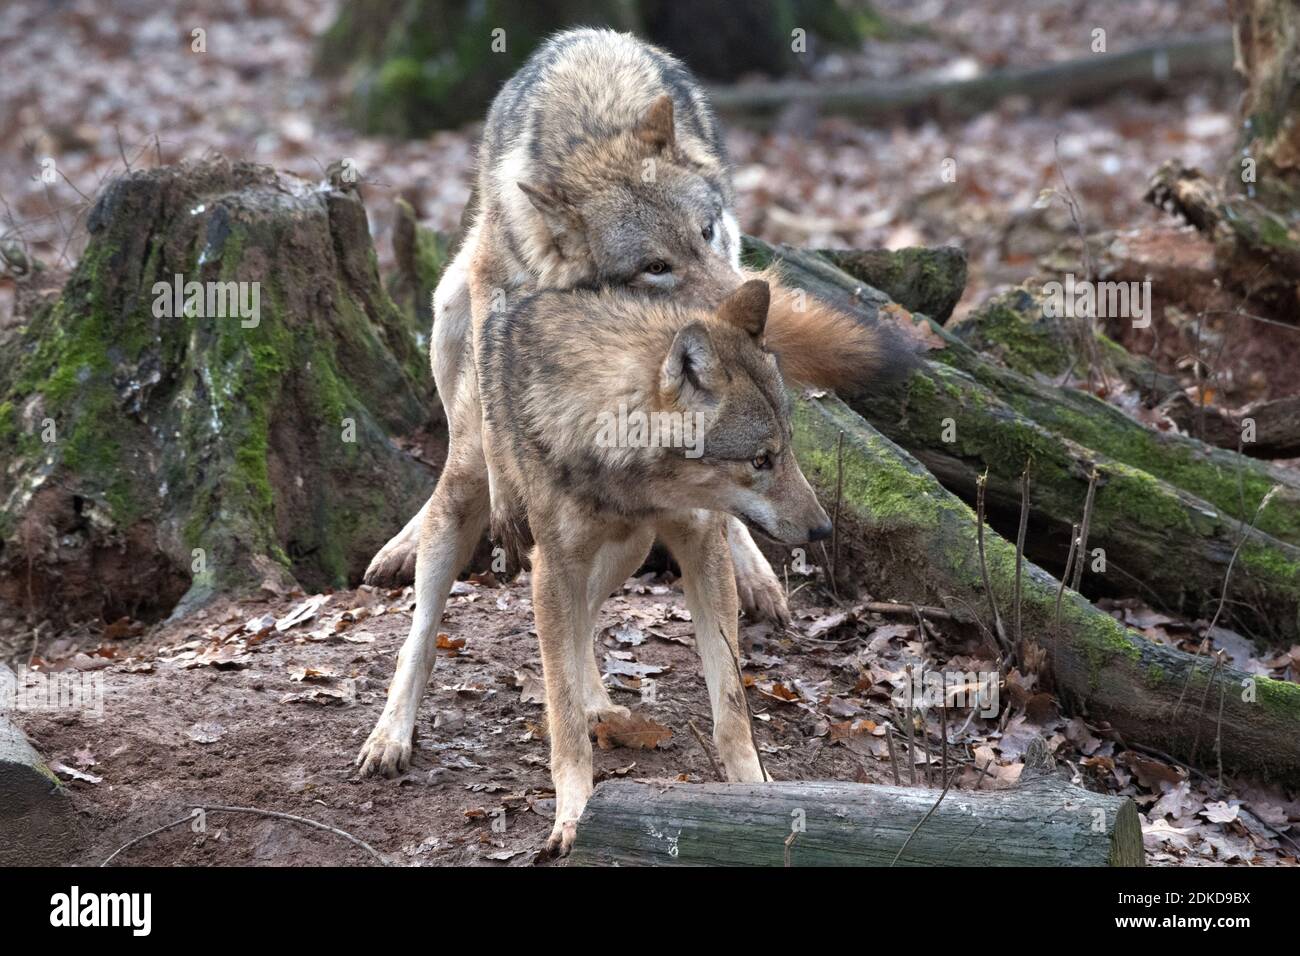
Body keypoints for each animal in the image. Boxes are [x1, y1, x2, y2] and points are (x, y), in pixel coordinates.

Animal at [362, 276, 889, 855]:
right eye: (760, 459)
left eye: (787, 449)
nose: (822, 531)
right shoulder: (553, 564)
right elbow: (563, 717)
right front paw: (573, 814)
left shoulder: (702, 547)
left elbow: (731, 705)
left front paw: (755, 793)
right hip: (460, 510)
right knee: (422, 638)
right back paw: (390, 736)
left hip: (628, 549)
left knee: (583, 624)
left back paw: (597, 701)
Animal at [363, 28, 793, 625]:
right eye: (655, 266)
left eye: (706, 233)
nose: (750, 301)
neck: (595, 128)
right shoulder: (492, 284)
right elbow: (495, 419)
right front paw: (505, 499)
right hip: (449, 307)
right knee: (457, 441)